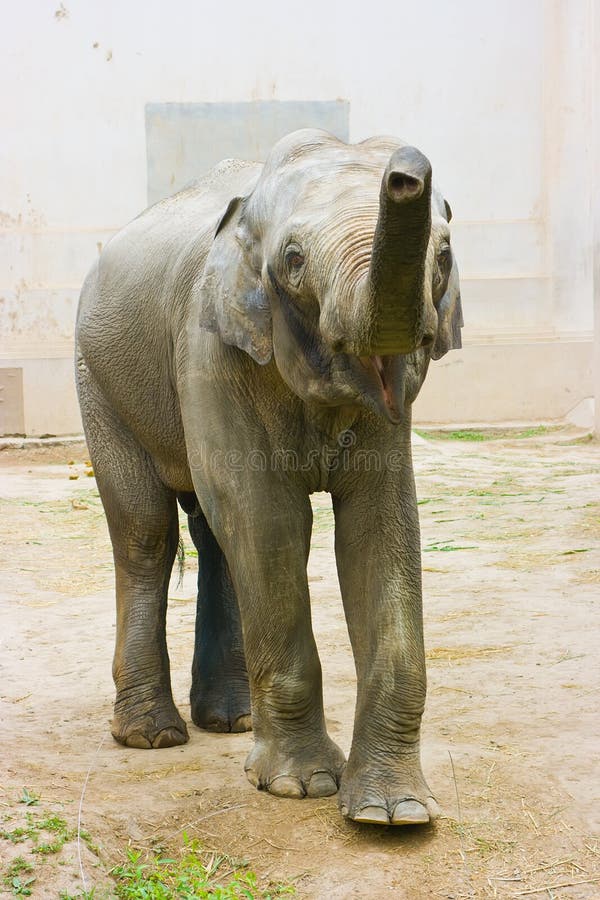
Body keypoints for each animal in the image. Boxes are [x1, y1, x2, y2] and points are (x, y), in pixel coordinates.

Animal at [75, 128, 462, 827]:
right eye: (294, 260)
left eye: (443, 256)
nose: (405, 172)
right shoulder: (208, 347)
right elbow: (269, 517)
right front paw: (299, 787)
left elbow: (380, 522)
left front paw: (394, 815)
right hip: (99, 381)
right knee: (147, 534)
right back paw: (153, 735)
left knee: (215, 535)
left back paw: (231, 722)